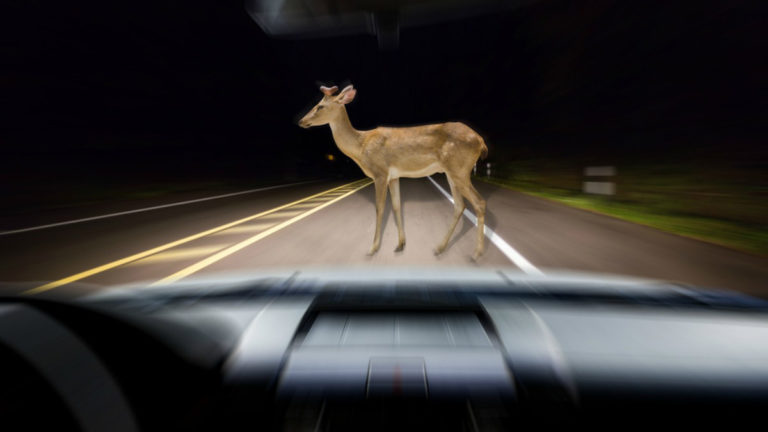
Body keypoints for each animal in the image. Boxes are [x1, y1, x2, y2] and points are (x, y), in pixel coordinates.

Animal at [298, 84, 488, 260]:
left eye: (320, 106)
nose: (301, 121)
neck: (361, 146)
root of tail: (481, 141)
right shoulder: (393, 177)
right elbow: (397, 206)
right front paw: (400, 244)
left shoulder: (380, 173)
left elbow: (380, 207)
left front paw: (372, 248)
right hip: (451, 173)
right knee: (460, 205)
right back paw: (440, 248)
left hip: (460, 170)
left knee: (479, 202)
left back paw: (476, 253)